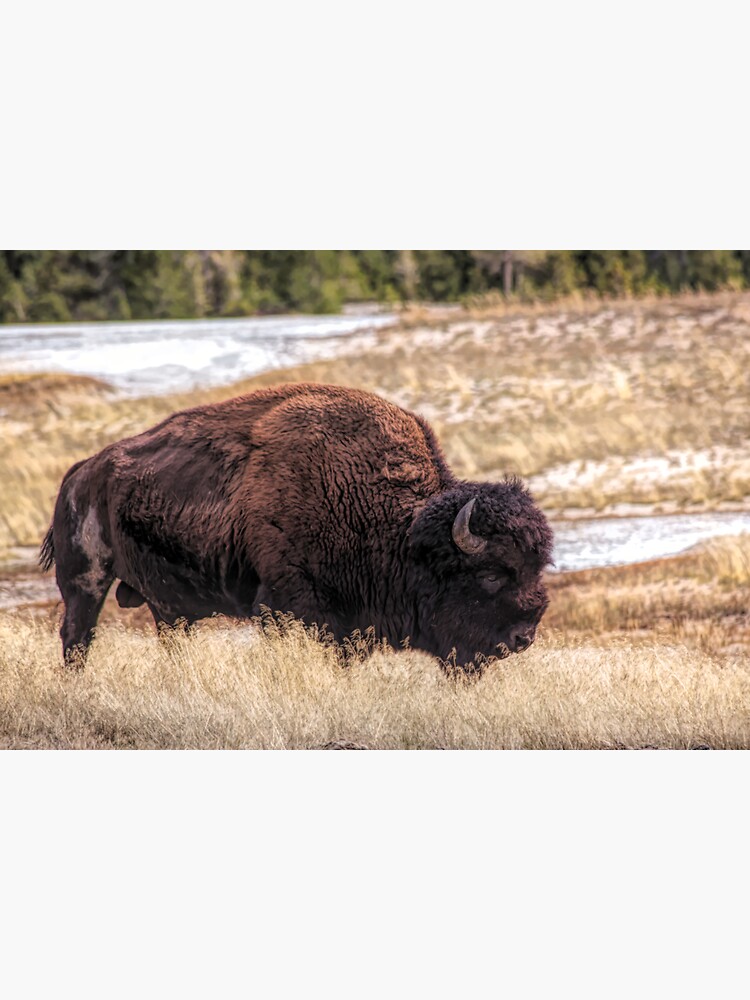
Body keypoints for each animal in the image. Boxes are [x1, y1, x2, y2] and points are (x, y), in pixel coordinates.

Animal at [40, 383, 553, 671]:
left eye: (537, 569)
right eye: (491, 573)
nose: (523, 638)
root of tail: (83, 471)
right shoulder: (288, 608)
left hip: (167, 609)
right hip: (85, 580)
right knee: (76, 637)